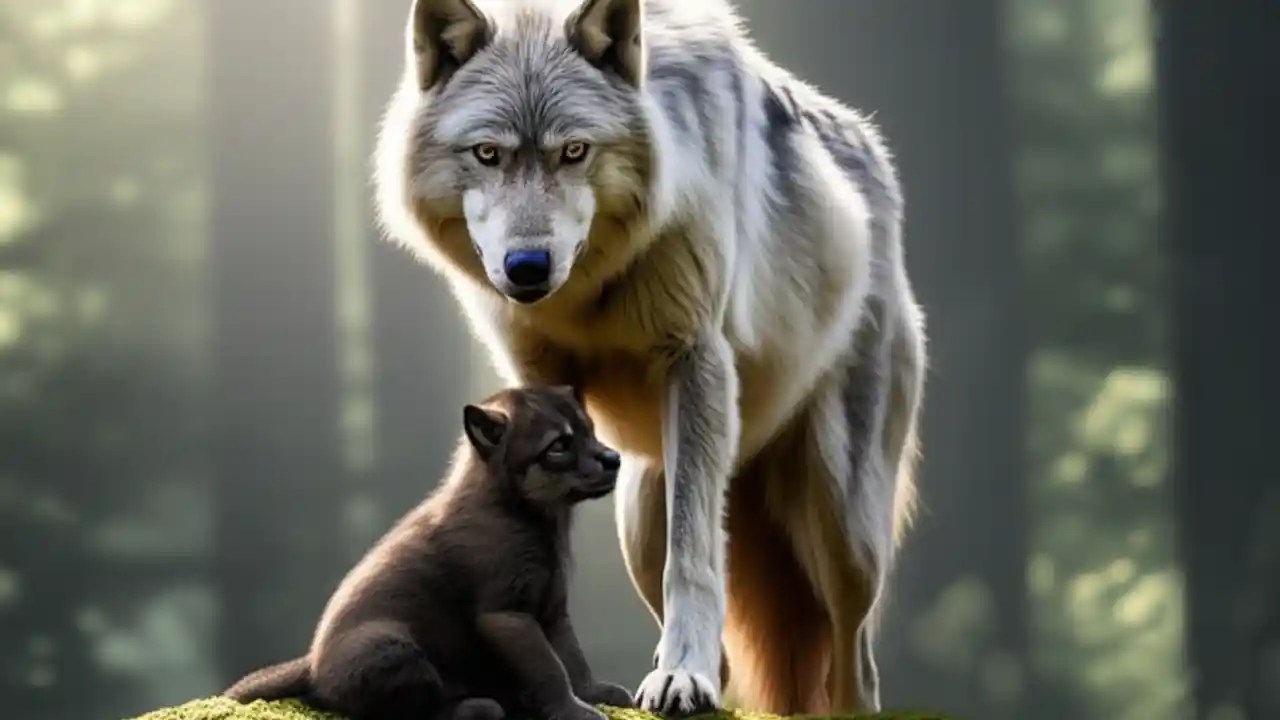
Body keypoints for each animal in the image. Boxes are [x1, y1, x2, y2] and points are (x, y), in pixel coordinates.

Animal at [224, 386, 634, 720]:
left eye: (590, 430)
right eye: (559, 446)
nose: (615, 459)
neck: (522, 513)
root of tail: (311, 664)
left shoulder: (553, 607)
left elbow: (572, 656)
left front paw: (593, 693)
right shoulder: (507, 614)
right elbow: (549, 667)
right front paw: (575, 710)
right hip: (394, 645)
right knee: (404, 709)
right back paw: (476, 707)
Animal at [372, 0, 927, 715]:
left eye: (574, 151)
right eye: (488, 154)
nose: (528, 267)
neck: (590, 291)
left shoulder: (696, 359)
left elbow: (692, 557)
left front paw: (680, 677)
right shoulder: (539, 385)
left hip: (842, 526)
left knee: (854, 661)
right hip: (638, 513)